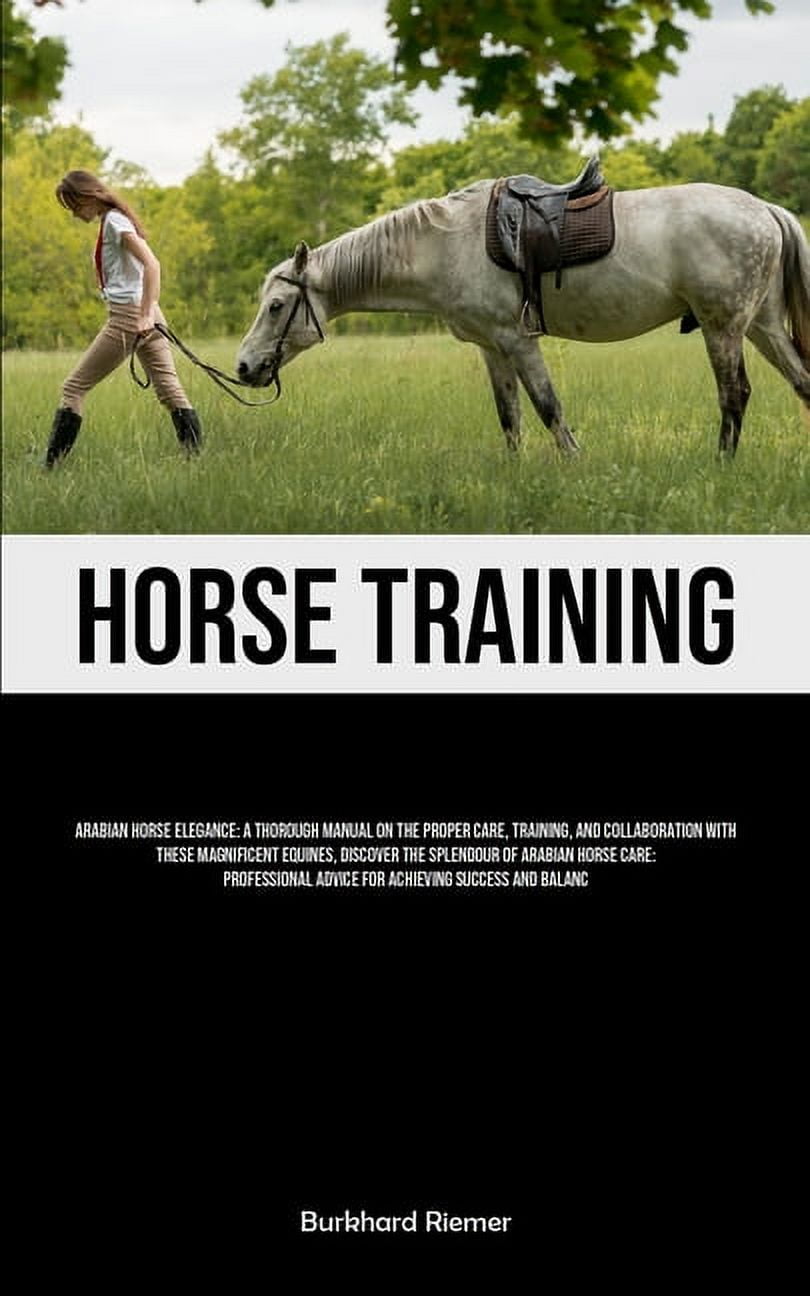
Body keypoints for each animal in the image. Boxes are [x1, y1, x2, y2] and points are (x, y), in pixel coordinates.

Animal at [236, 168, 810, 457]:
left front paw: (575, 467)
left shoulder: (516, 340)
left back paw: (722, 464)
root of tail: (766, 210)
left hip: (723, 328)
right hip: (761, 327)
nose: (244, 366)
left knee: (734, 395)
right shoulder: (492, 349)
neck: (445, 244)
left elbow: (548, 408)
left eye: (277, 306)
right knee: (802, 382)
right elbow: (509, 417)